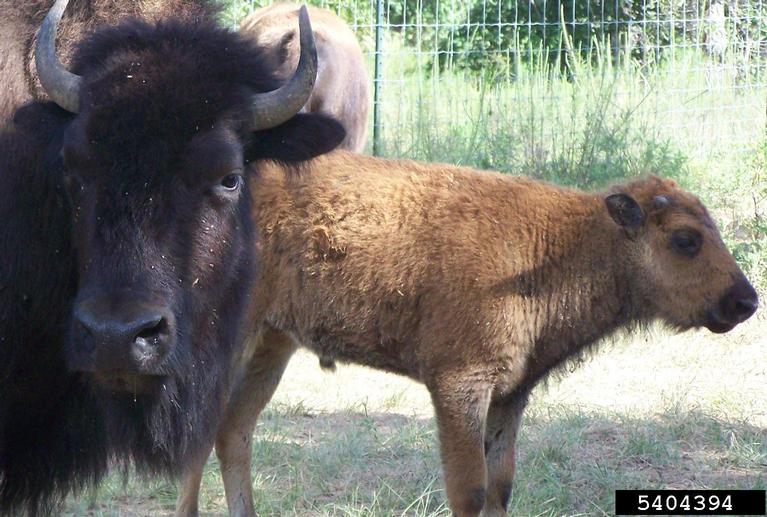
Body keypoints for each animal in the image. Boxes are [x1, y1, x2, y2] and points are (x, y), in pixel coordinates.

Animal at [174, 151, 758, 516]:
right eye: (685, 239)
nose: (746, 301)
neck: (559, 248)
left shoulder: (510, 395)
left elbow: (500, 487)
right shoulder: (460, 385)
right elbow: (469, 491)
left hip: (273, 345)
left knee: (233, 431)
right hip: (231, 341)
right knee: (202, 431)